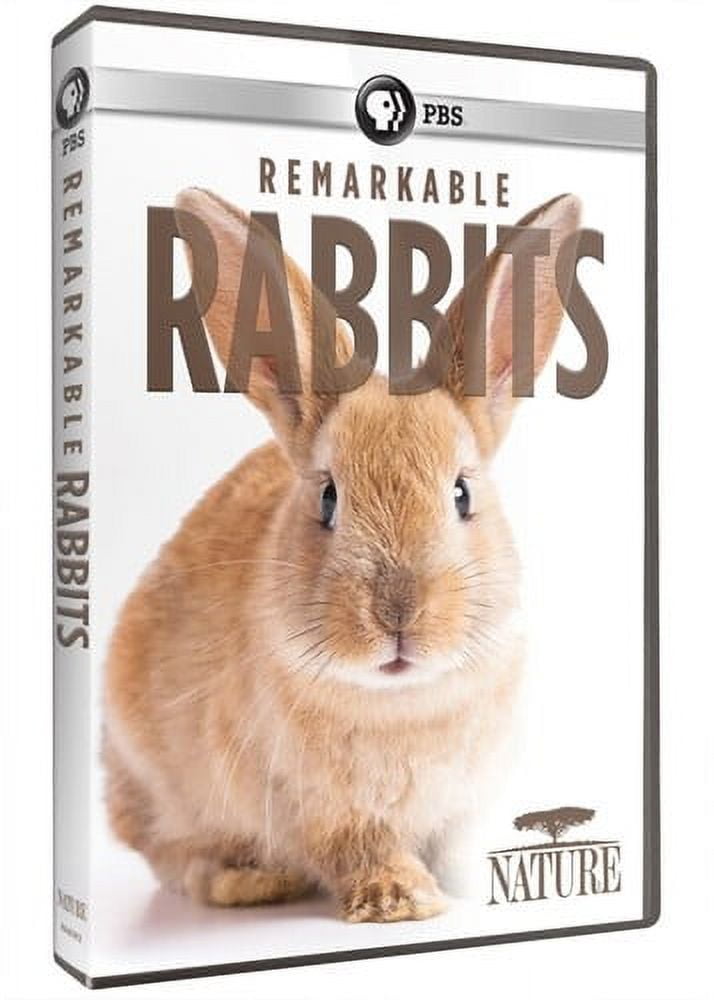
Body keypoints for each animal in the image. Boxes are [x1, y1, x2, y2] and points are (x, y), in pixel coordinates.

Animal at [103, 188, 580, 923]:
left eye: (462, 493)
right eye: (328, 499)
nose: (398, 613)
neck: (402, 703)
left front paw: (468, 885)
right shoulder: (320, 809)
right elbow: (357, 847)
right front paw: (401, 901)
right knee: (169, 852)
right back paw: (249, 880)